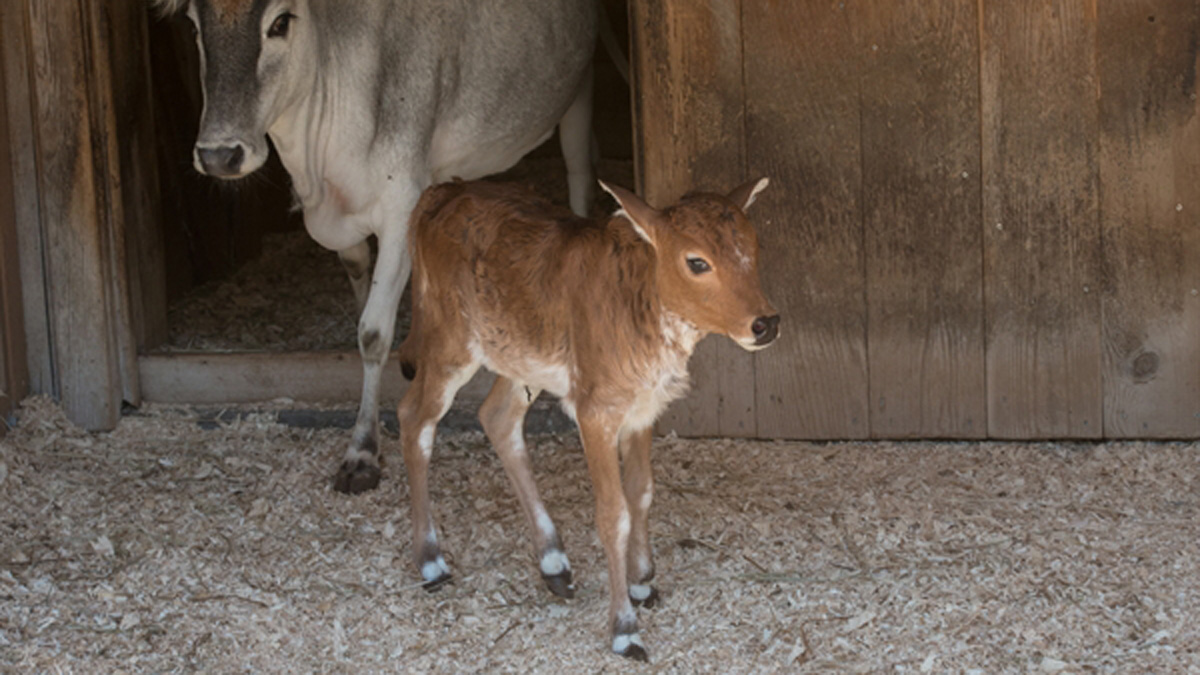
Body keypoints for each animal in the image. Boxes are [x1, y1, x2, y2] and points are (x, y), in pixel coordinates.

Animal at [151, 0, 599, 494]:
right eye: (194, 25)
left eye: (280, 22)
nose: (219, 155)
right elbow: (364, 299)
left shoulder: (399, 204)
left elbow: (372, 333)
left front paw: (362, 451)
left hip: (579, 98)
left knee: (579, 178)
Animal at [394, 178, 780, 660]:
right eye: (697, 261)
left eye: (755, 246)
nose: (766, 323)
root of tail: (440, 192)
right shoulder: (595, 408)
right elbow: (613, 513)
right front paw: (624, 629)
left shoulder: (643, 407)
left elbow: (642, 492)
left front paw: (642, 582)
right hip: (449, 338)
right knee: (414, 417)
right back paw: (431, 561)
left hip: (519, 357)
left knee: (497, 417)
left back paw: (554, 563)